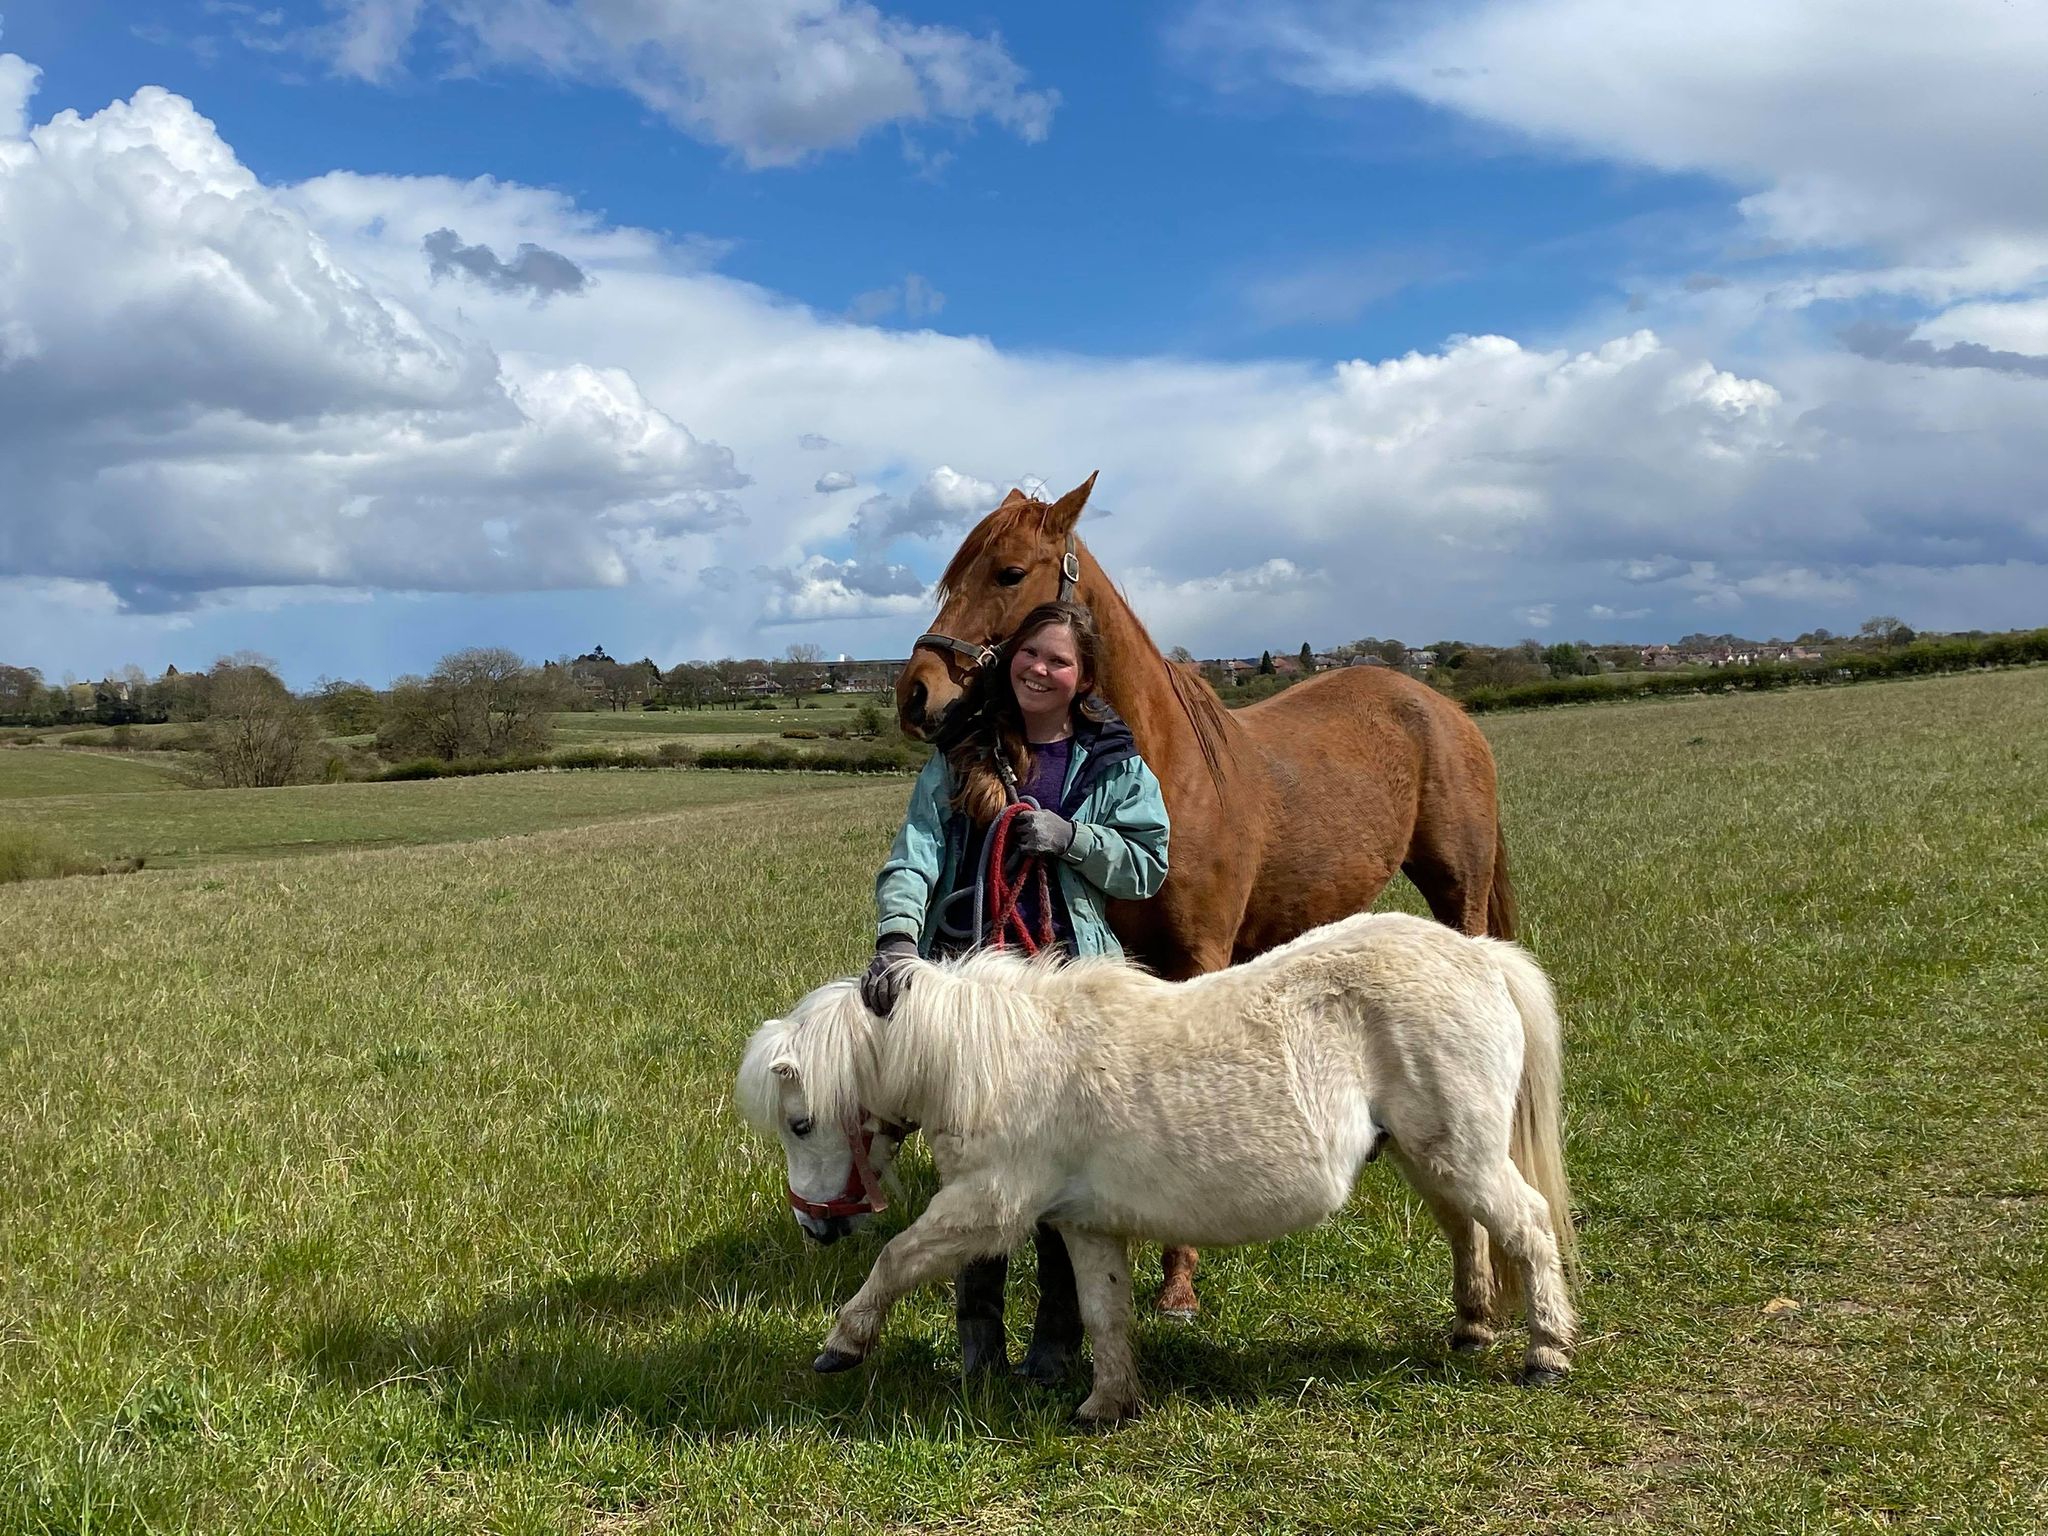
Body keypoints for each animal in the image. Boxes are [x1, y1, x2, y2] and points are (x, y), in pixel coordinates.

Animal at [736, 911, 1578, 1425]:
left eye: (801, 1123)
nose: (813, 1227)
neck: (994, 1057)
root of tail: (1479, 955)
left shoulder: (985, 1207)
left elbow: (896, 1259)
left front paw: (844, 1344)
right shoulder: (1083, 1224)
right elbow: (1104, 1313)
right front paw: (1107, 1406)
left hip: (1461, 1153)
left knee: (1527, 1227)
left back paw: (1546, 1354)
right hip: (1427, 1155)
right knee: (1467, 1230)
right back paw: (1471, 1326)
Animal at [896, 473, 1516, 1320]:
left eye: (1010, 573)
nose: (914, 695)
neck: (1170, 772)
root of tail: (1444, 708)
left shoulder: (1200, 956)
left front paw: (1179, 1280)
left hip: (1459, 889)